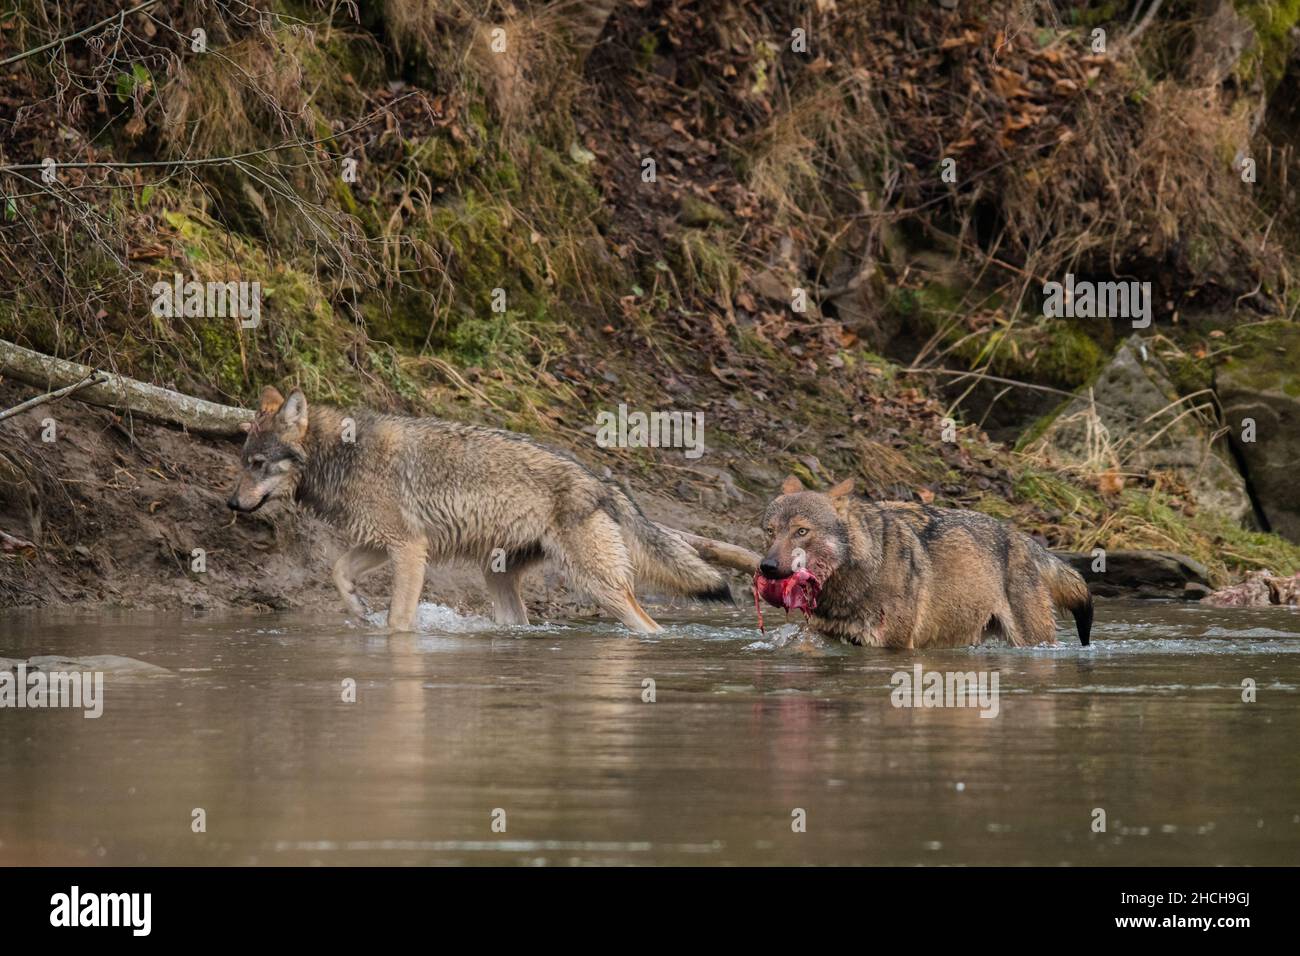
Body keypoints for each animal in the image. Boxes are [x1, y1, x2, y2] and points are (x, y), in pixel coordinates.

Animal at [225, 387, 731, 632]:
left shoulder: (409, 549)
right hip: (498, 575)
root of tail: (601, 481)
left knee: (649, 625)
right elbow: (337, 570)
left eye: (257, 464)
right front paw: (355, 605)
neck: (341, 454)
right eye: (243, 462)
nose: (232, 502)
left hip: (599, 586)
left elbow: (399, 619)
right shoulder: (387, 543)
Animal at [683, 476, 1092, 648]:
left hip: (1032, 641)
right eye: (770, 532)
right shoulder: (826, 638)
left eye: (801, 532)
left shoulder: (892, 645)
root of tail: (1023, 538)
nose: (766, 568)